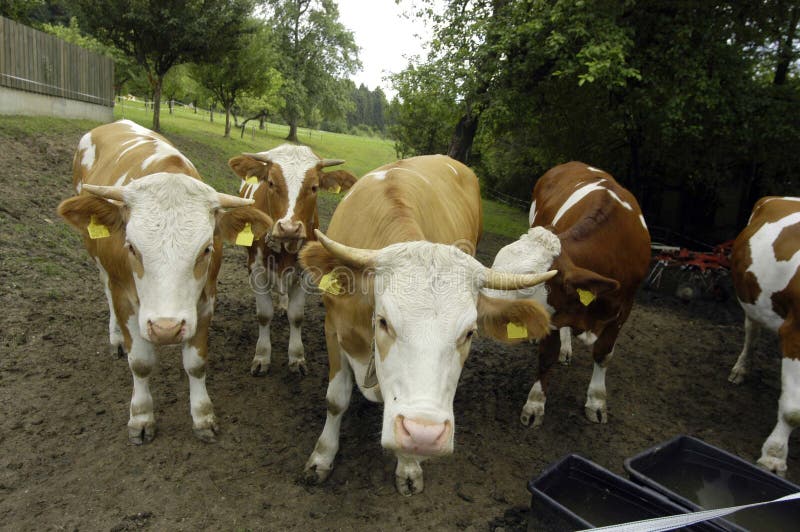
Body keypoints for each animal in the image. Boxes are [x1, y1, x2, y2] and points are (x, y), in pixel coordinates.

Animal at [57, 119, 273, 444]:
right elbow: (140, 362)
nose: (166, 329)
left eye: (206, 249)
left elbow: (196, 363)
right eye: (132, 247)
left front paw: (202, 416)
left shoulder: (205, 299)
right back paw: (116, 339)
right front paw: (141, 417)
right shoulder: (125, 297)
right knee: (106, 289)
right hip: (99, 261)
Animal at [228, 146, 355, 376]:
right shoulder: (256, 270)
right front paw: (262, 356)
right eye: (270, 183)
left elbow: (296, 316)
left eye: (314, 187)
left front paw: (296, 357)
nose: (289, 228)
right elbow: (264, 314)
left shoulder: (304, 273)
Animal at [299, 155, 556, 495]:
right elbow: (335, 400)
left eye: (469, 333)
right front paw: (322, 457)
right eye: (383, 321)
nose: (424, 433)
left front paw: (408, 466)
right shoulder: (333, 327)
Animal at [486, 162, 650, 428]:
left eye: (526, 283)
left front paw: (597, 401)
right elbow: (546, 357)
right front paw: (535, 405)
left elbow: (604, 354)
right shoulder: (554, 311)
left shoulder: (624, 309)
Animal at [728, 196, 800, 476]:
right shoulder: (794, 332)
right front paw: (774, 456)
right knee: (751, 333)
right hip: (751, 303)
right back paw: (740, 369)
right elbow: (793, 410)